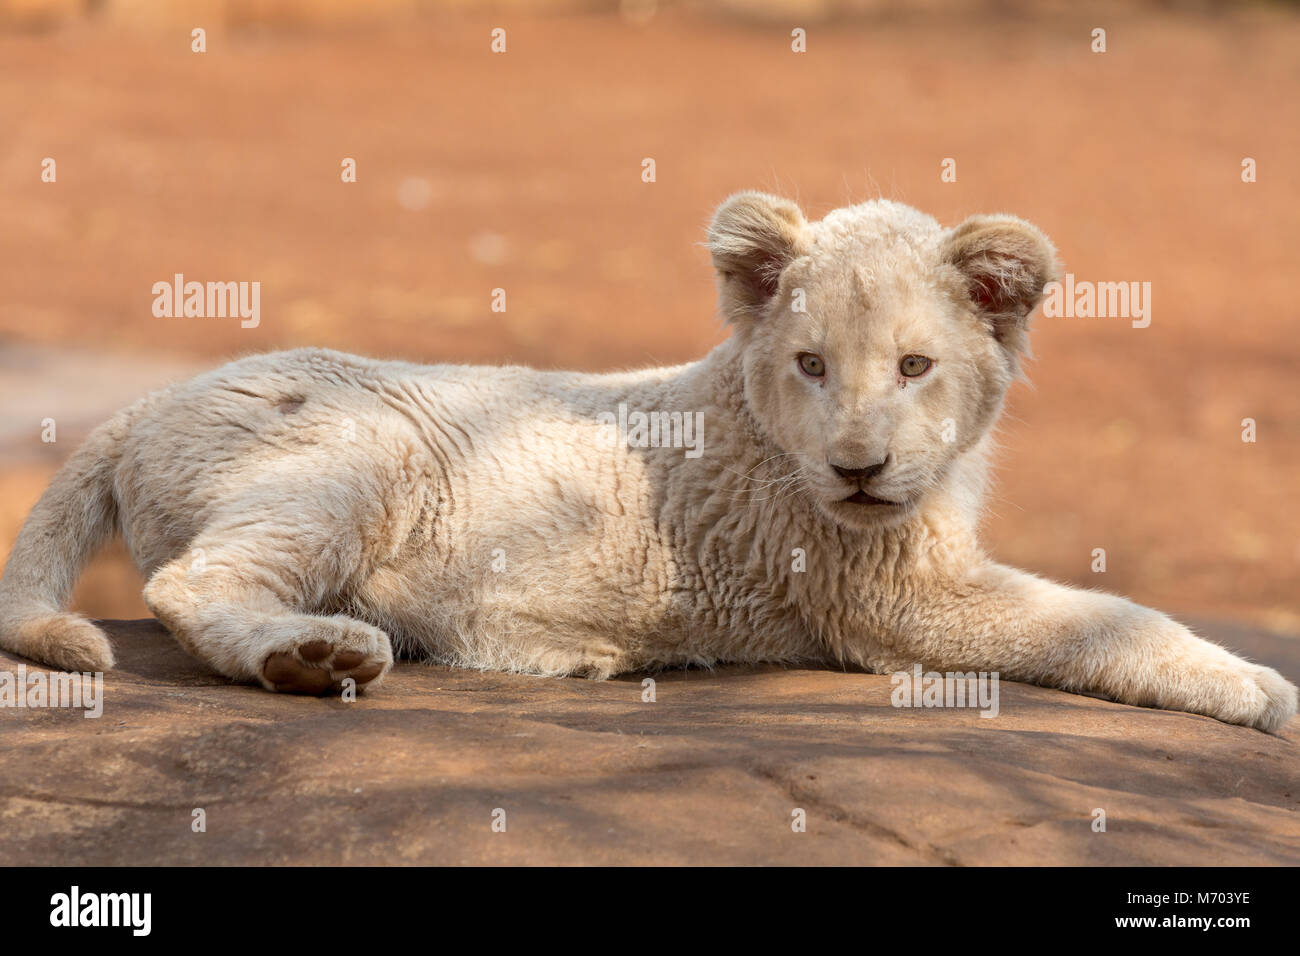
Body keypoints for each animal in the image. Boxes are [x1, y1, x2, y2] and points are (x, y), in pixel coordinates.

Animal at [1, 192, 1294, 732]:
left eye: (915, 365)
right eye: (813, 363)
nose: (859, 470)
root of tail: (145, 398)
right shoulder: (896, 597)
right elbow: (1108, 618)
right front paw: (1259, 688)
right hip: (359, 454)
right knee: (189, 584)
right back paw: (318, 657)